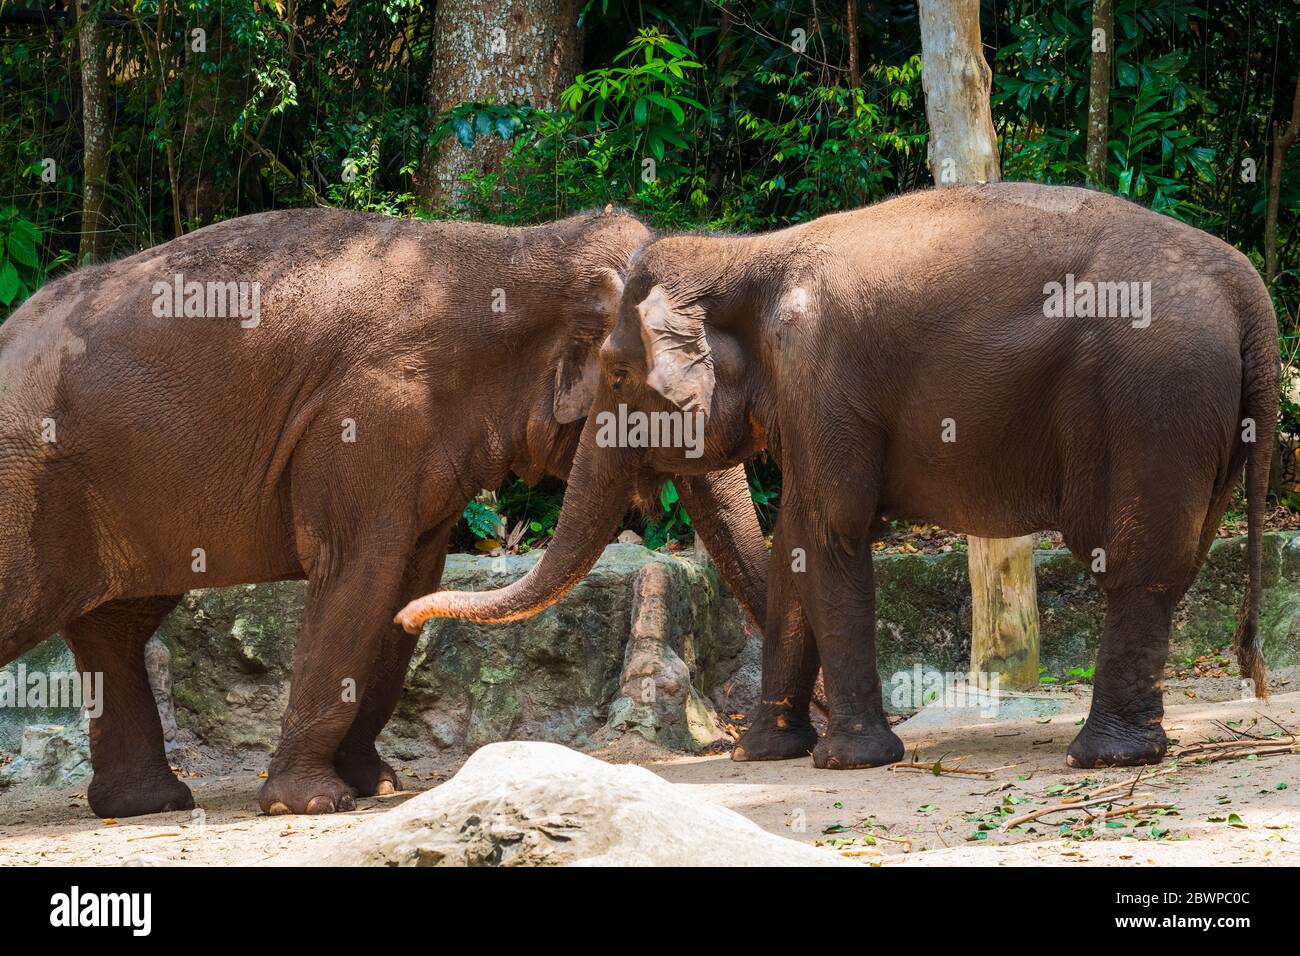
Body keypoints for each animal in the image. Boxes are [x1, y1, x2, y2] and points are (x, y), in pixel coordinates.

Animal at [0, 205, 771, 817]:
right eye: (631, 380)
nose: (745, 751)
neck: (517, 251)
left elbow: (409, 582)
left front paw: (377, 785)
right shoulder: (366, 418)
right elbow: (359, 572)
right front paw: (311, 803)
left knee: (114, 629)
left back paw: (146, 805)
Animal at [398, 182, 1278, 773]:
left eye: (616, 375)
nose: (409, 618)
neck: (747, 250)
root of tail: (1247, 287)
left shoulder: (823, 369)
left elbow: (832, 532)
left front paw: (846, 760)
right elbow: (795, 541)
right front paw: (765, 754)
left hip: (1156, 397)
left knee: (1138, 563)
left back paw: (1105, 757)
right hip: (1198, 414)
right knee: (1175, 560)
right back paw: (1138, 745)